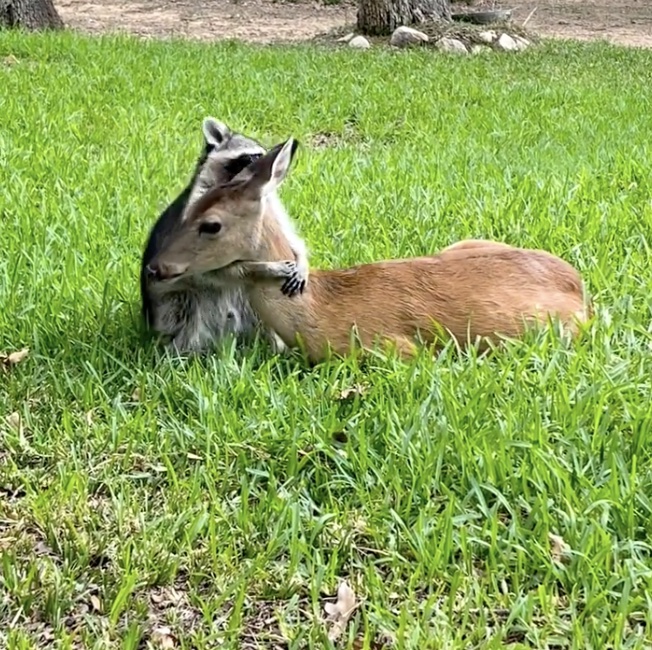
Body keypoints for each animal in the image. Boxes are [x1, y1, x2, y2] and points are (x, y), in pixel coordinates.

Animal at [145, 138, 591, 363]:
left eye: (211, 224)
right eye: (190, 207)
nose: (155, 267)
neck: (319, 314)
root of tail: (581, 290)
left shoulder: (395, 348)